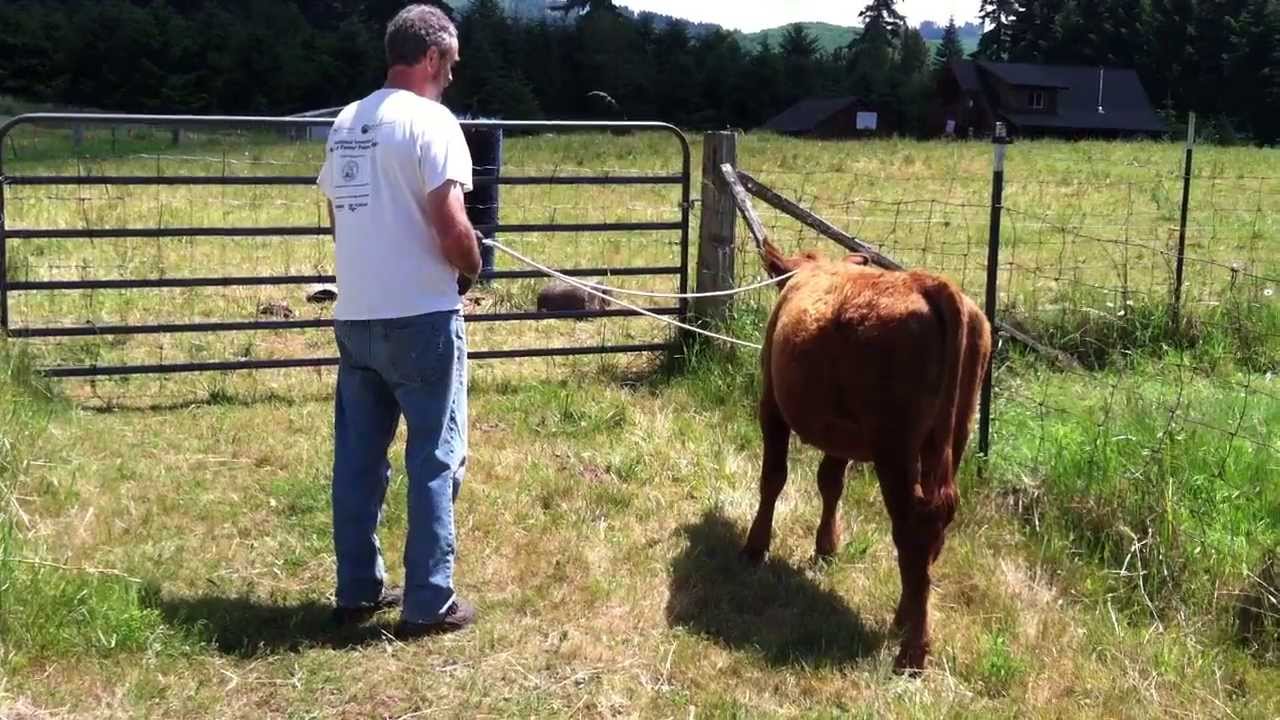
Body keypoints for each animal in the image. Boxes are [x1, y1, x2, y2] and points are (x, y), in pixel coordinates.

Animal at [741, 238, 992, 674]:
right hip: (952, 437)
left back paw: (912, 650)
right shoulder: (839, 434)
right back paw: (906, 617)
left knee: (913, 527)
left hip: (894, 447)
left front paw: (756, 547)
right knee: (935, 527)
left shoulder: (771, 403)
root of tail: (930, 283)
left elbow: (773, 477)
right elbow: (830, 482)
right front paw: (826, 545)